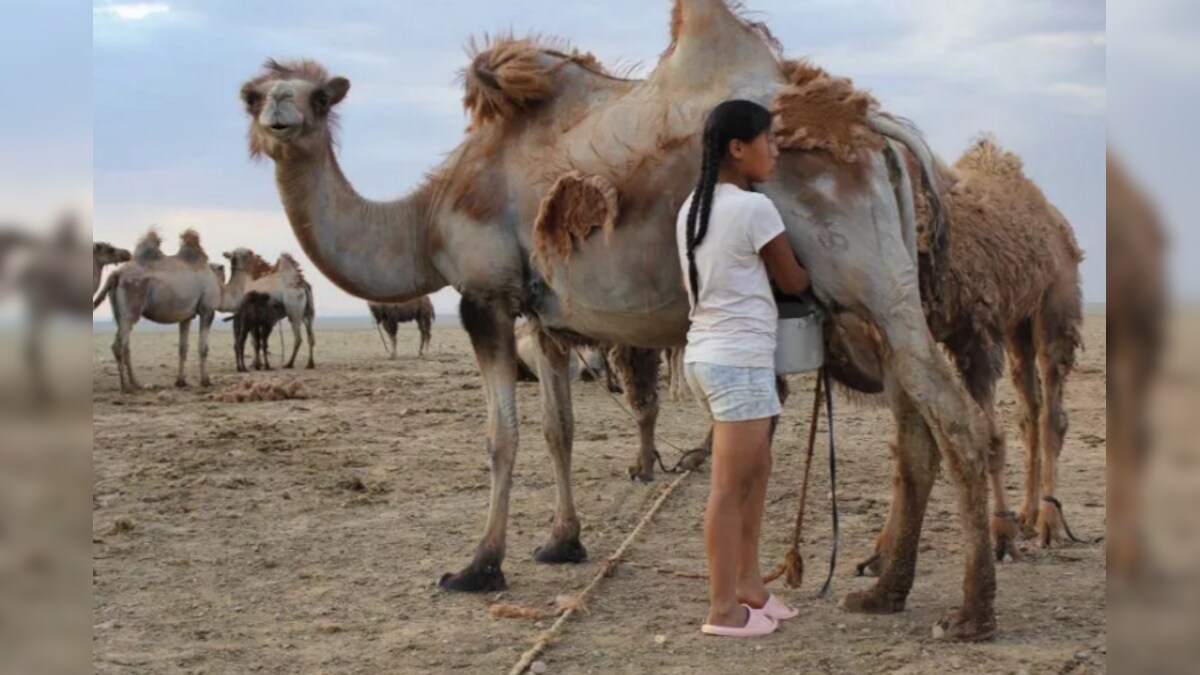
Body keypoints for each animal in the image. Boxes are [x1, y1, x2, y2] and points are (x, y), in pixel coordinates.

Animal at [95, 229, 244, 392]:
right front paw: (206, 381)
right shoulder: (207, 310)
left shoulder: (186, 317)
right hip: (131, 307)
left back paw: (136, 383)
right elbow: (203, 348)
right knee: (118, 345)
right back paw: (126, 387)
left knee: (125, 345)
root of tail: (116, 274)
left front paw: (181, 382)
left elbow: (183, 348)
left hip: (118, 314)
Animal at [238, 0, 998, 639]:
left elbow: (501, 438)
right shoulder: (544, 318)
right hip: (879, 298)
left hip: (869, 284)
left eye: (314, 96)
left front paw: (478, 566)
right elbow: (558, 430)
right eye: (256, 93)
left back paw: (969, 613)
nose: (278, 121)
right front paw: (561, 542)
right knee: (915, 432)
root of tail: (877, 129)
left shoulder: (484, 296)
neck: (423, 221)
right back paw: (883, 591)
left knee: (958, 421)